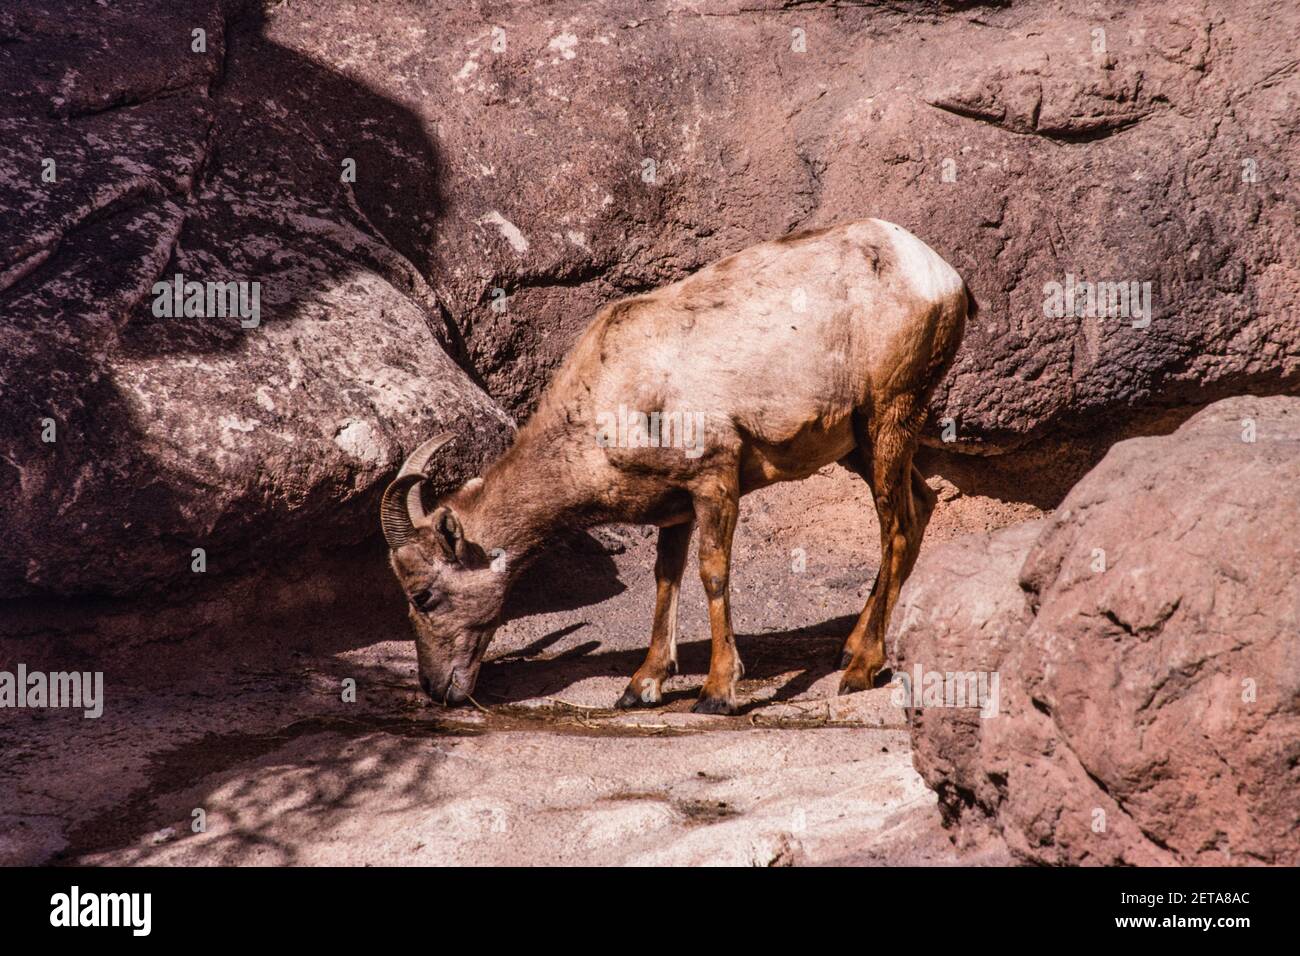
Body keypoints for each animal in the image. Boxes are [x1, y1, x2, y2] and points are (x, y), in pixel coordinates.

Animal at [382, 219, 973, 714]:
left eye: (422, 595)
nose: (435, 688)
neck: (614, 390)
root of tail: (944, 278)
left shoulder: (716, 477)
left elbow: (713, 572)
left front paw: (717, 693)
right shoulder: (676, 506)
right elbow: (667, 578)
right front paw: (641, 686)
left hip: (889, 417)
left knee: (897, 527)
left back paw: (860, 670)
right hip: (861, 447)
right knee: (922, 504)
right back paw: (847, 650)